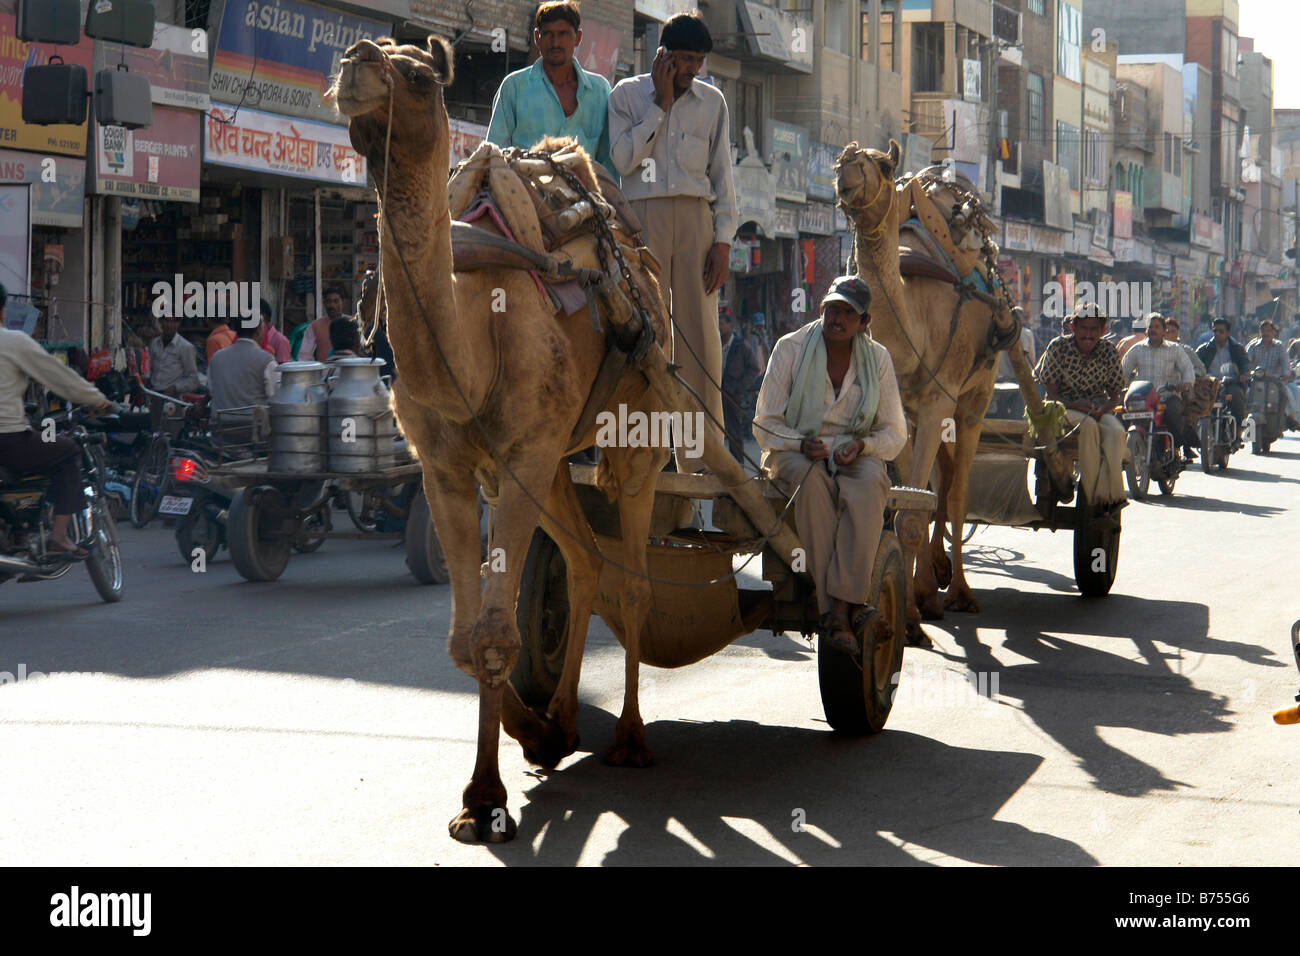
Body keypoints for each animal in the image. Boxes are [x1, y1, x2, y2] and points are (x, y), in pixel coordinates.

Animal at [331, 36, 672, 844]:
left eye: (418, 75)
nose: (356, 60)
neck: (472, 342)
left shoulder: (522, 452)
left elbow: (492, 631)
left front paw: (486, 795)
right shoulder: (451, 470)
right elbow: (467, 637)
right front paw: (531, 741)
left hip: (632, 428)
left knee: (633, 576)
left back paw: (630, 738)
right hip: (549, 462)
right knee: (585, 561)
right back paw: (564, 720)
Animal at [835, 141, 1011, 633]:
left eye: (882, 164)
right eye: (845, 156)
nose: (844, 171)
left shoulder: (938, 400)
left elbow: (920, 509)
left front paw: (912, 617)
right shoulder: (898, 411)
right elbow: (909, 503)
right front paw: (915, 604)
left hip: (976, 395)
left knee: (957, 491)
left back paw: (960, 593)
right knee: (942, 480)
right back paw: (934, 586)